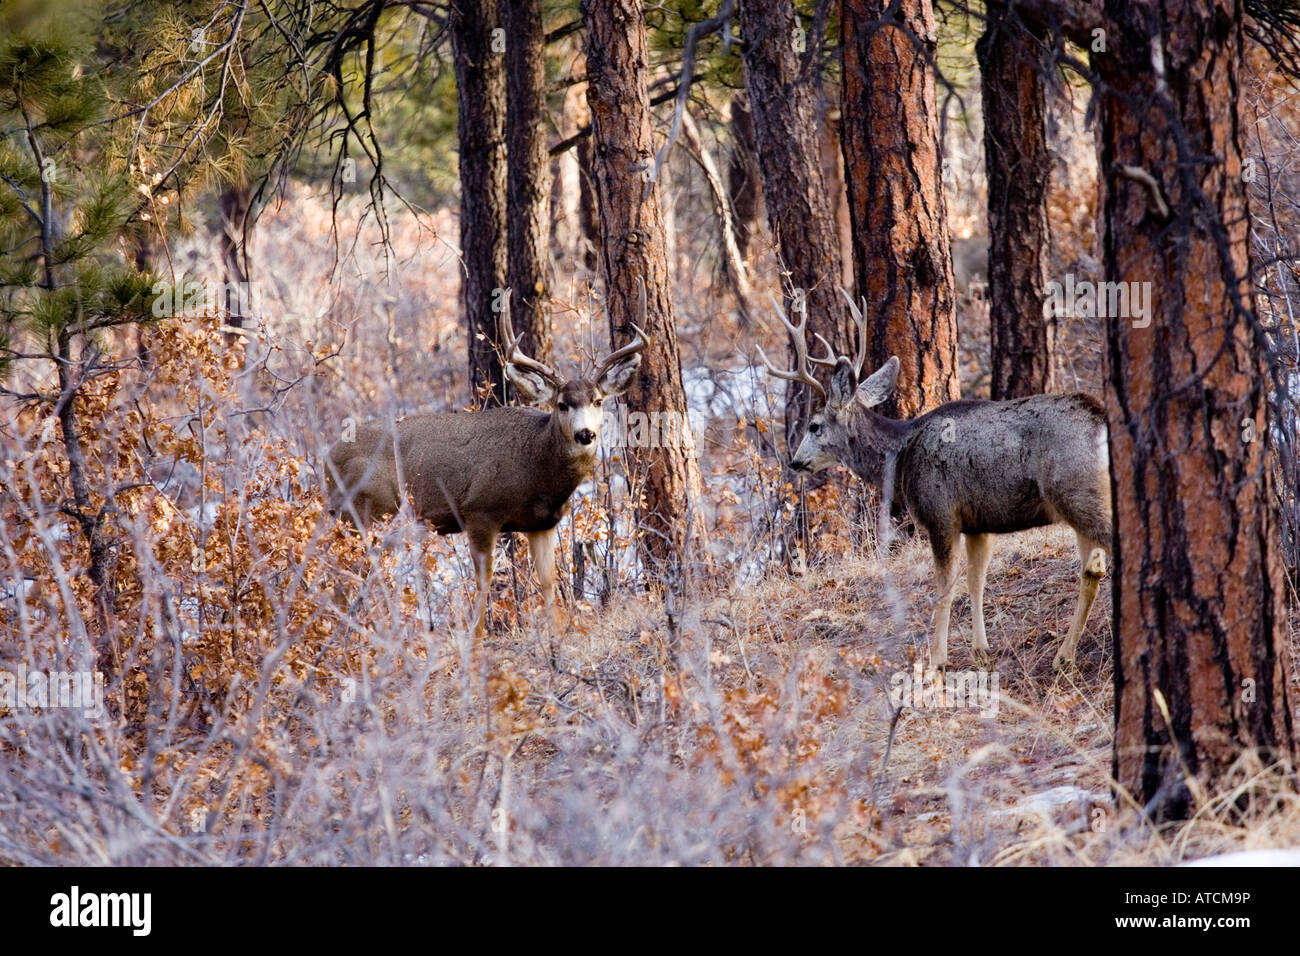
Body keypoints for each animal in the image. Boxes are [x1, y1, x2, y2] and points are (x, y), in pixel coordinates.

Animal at [324, 285, 650, 640]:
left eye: (598, 401)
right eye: (562, 404)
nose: (586, 434)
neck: (537, 467)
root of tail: (327, 457)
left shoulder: (543, 524)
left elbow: (548, 582)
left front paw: (554, 638)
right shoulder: (479, 511)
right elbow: (484, 582)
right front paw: (476, 640)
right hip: (364, 510)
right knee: (343, 573)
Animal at [759, 291, 1111, 671]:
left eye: (814, 426)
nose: (796, 461)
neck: (901, 456)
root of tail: (1100, 422)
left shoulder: (940, 512)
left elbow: (945, 587)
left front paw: (937, 659)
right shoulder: (978, 524)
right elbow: (976, 580)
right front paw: (980, 650)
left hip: (1080, 493)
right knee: (1092, 571)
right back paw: (1064, 656)